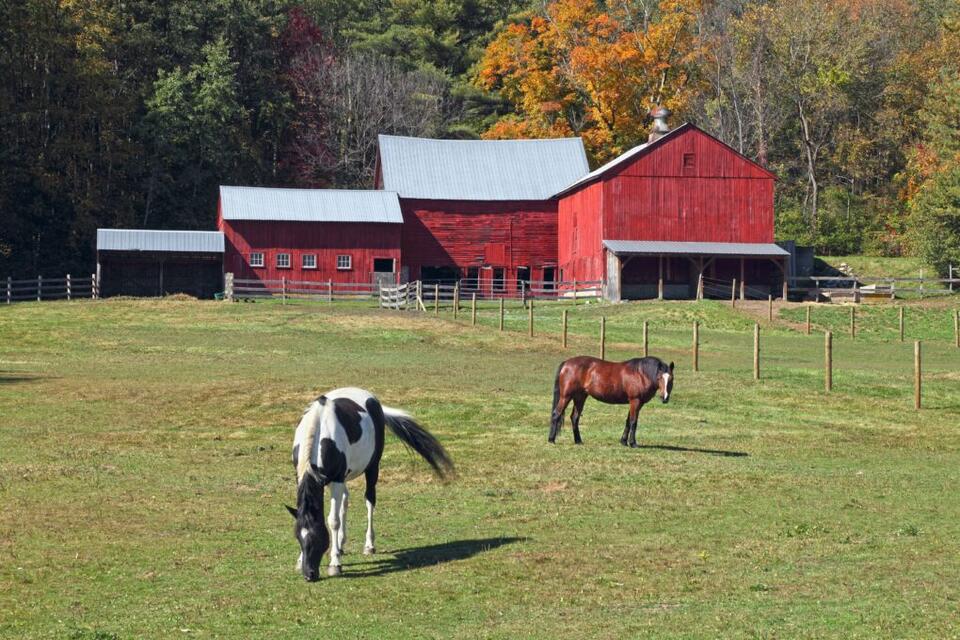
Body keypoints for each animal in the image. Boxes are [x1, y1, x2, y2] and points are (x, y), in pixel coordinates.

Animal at [285, 387, 454, 581]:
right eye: (298, 537)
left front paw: (335, 564)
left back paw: (368, 545)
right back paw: (341, 544)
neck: (321, 428)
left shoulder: (336, 479)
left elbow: (333, 521)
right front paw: (300, 560)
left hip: (372, 468)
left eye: (319, 538)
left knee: (369, 501)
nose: (309, 575)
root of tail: (372, 398)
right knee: (345, 501)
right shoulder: (305, 477)